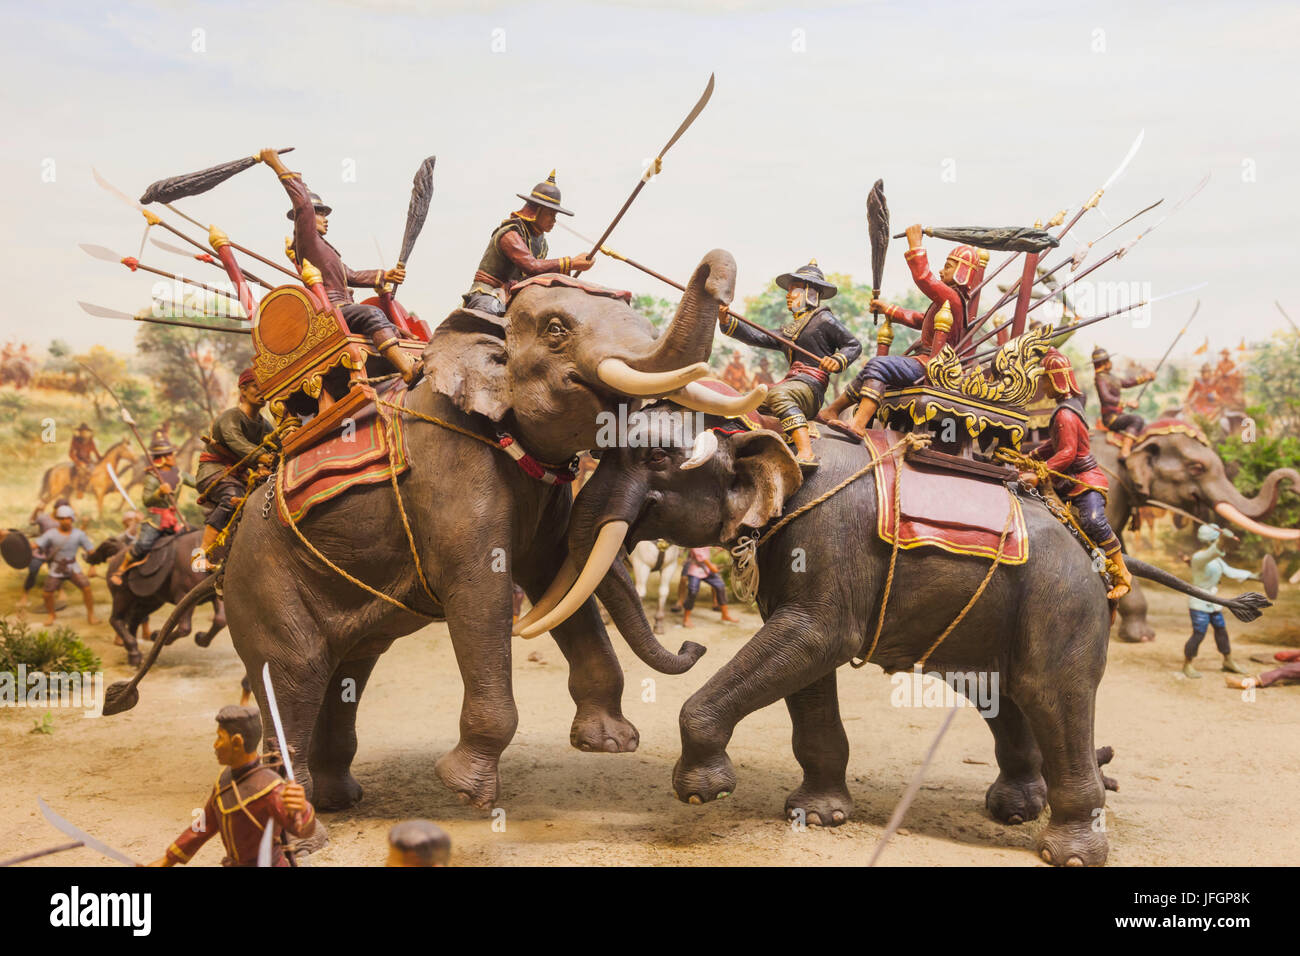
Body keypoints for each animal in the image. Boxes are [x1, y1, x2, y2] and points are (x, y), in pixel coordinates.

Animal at [105, 252, 767, 816]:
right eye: (557, 330)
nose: (694, 646)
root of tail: (223, 551)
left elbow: (560, 576)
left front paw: (608, 745)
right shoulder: (456, 473)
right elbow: (481, 591)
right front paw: (467, 792)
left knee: (343, 673)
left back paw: (338, 800)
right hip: (261, 582)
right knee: (293, 670)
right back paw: (301, 817)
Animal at [539, 407, 1268, 865]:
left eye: (657, 462)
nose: (690, 646)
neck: (769, 436)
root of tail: (1096, 544)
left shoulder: (824, 543)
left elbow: (813, 640)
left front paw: (704, 790)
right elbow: (809, 671)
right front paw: (817, 815)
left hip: (1061, 603)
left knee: (1052, 692)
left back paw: (1066, 852)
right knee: (1002, 695)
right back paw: (1015, 807)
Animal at [1092, 425, 1299, 642]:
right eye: (1197, 468)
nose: (1292, 485)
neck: (1132, 443)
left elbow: (1117, 547)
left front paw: (1141, 636)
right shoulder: (1110, 489)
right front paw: (1141, 637)